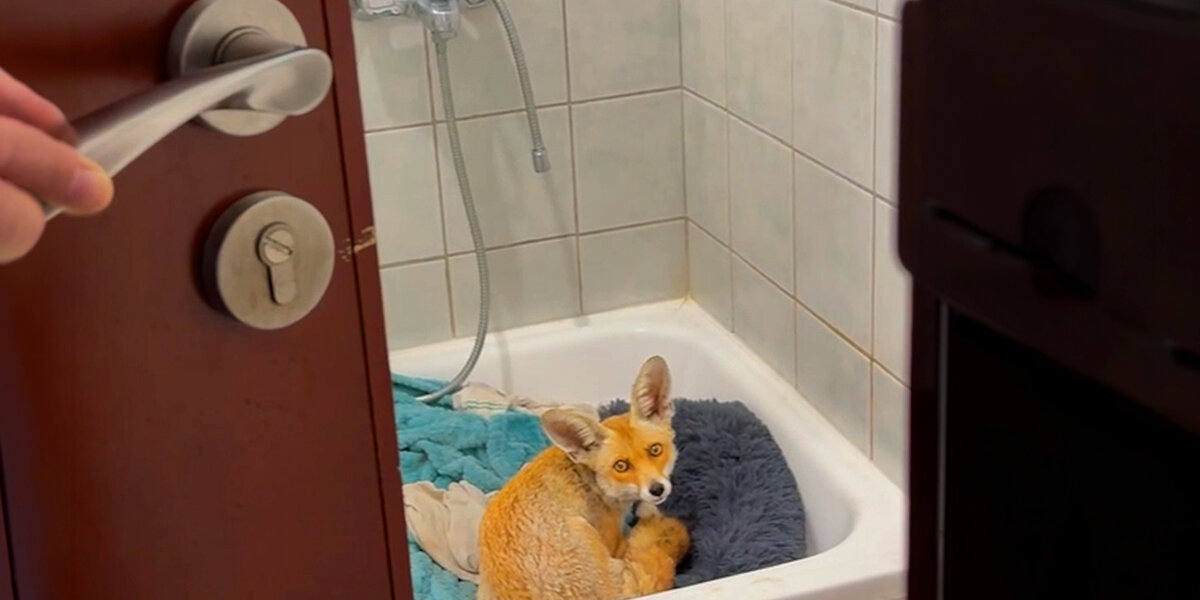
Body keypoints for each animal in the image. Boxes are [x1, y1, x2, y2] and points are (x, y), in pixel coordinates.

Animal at [477, 356, 689, 600]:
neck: (592, 483)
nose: (656, 489)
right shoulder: (612, 540)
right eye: (621, 466)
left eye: (655, 450)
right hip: (583, 531)